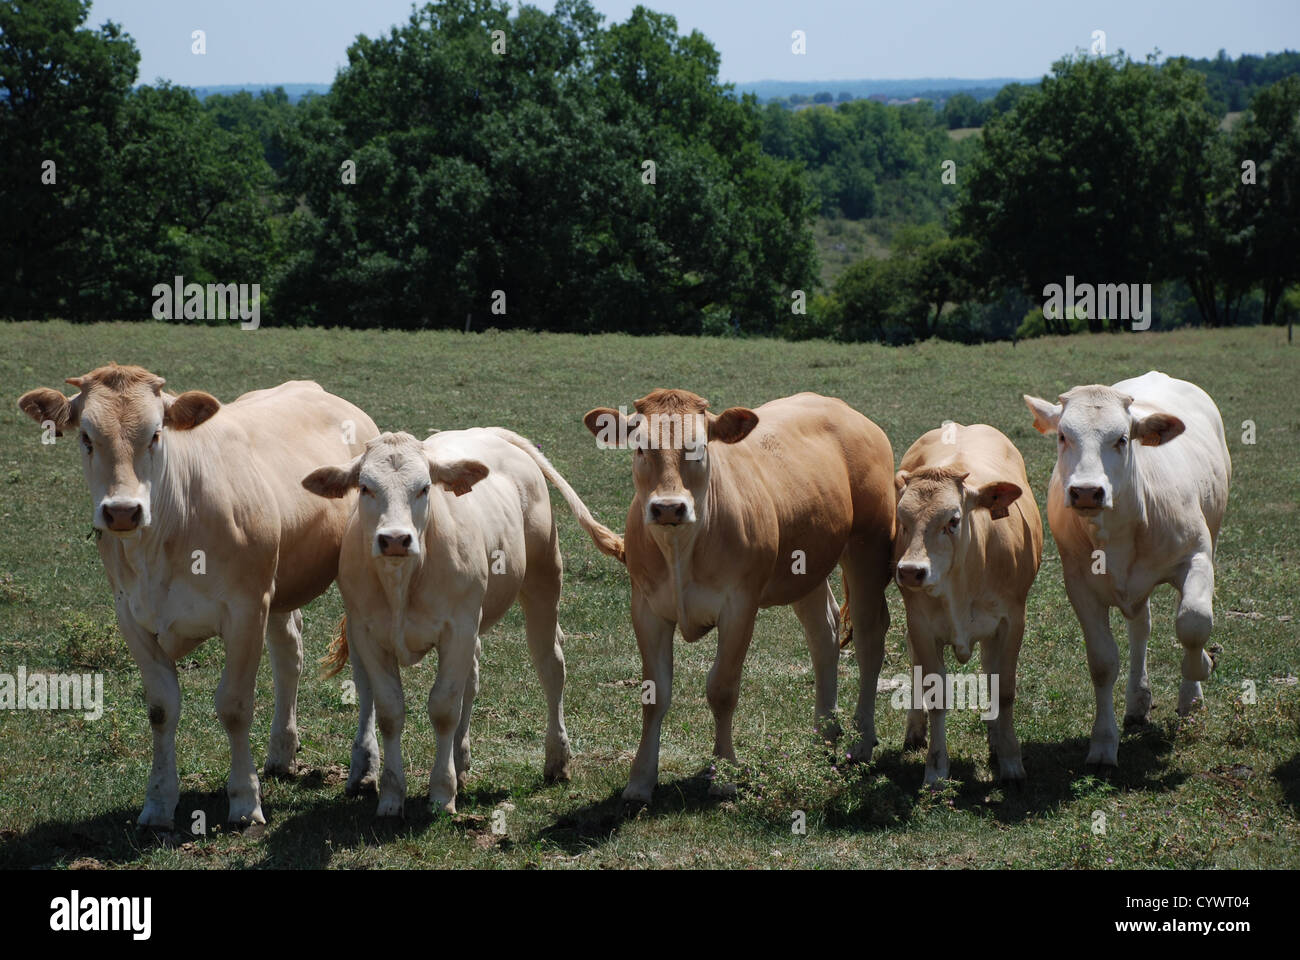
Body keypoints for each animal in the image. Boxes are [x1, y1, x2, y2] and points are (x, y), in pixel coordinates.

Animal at [16, 364, 379, 828]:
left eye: (155, 434)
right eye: (86, 437)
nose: (122, 511)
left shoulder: (245, 610)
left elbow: (235, 705)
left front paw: (244, 801)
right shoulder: (131, 617)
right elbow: (160, 708)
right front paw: (157, 802)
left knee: (364, 672)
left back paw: (364, 768)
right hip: (278, 587)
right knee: (289, 655)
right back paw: (282, 751)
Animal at [302, 429, 623, 816]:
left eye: (424, 487)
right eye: (365, 487)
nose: (394, 539)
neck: (403, 581)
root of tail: (490, 431)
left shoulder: (457, 630)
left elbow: (443, 708)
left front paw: (442, 793)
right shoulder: (369, 634)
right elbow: (390, 710)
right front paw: (392, 796)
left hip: (544, 579)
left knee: (551, 667)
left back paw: (556, 758)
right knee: (458, 681)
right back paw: (452, 760)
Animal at [582, 390, 895, 804]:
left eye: (699, 447)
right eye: (640, 447)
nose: (668, 507)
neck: (681, 547)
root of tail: (841, 408)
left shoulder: (740, 606)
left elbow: (722, 688)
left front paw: (725, 773)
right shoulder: (646, 608)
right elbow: (654, 694)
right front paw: (640, 779)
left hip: (868, 549)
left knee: (868, 638)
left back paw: (861, 740)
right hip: (807, 565)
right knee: (823, 634)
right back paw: (824, 733)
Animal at [892, 423, 1043, 786]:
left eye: (953, 519)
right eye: (902, 519)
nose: (911, 571)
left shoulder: (1012, 621)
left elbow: (1004, 689)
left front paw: (1011, 760)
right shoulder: (920, 625)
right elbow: (934, 693)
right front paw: (935, 769)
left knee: (990, 670)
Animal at [1024, 371, 1231, 772]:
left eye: (1121, 439)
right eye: (1063, 436)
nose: (1086, 491)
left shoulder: (1197, 555)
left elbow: (1193, 622)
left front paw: (1199, 673)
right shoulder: (1079, 585)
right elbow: (1103, 662)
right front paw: (1103, 743)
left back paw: (1189, 695)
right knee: (1141, 627)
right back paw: (1137, 700)